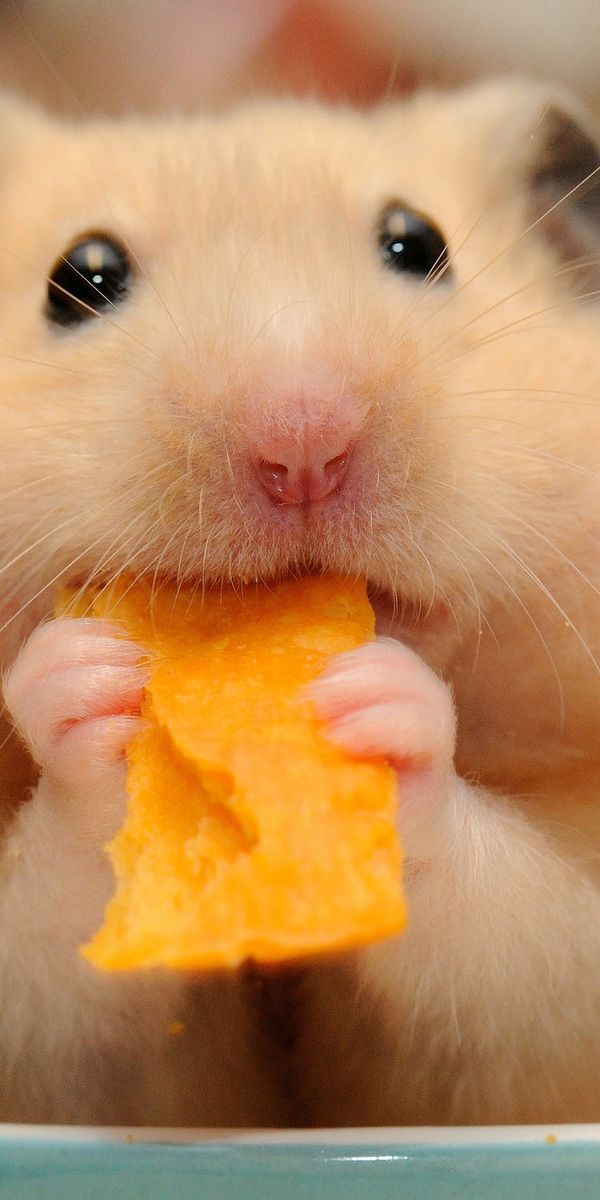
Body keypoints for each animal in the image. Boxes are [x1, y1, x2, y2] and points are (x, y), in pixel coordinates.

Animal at [2, 79, 600, 1126]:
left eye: (418, 243)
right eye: (80, 277)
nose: (302, 441)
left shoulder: (536, 1017)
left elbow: (518, 934)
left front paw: (376, 706)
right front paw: (89, 674)